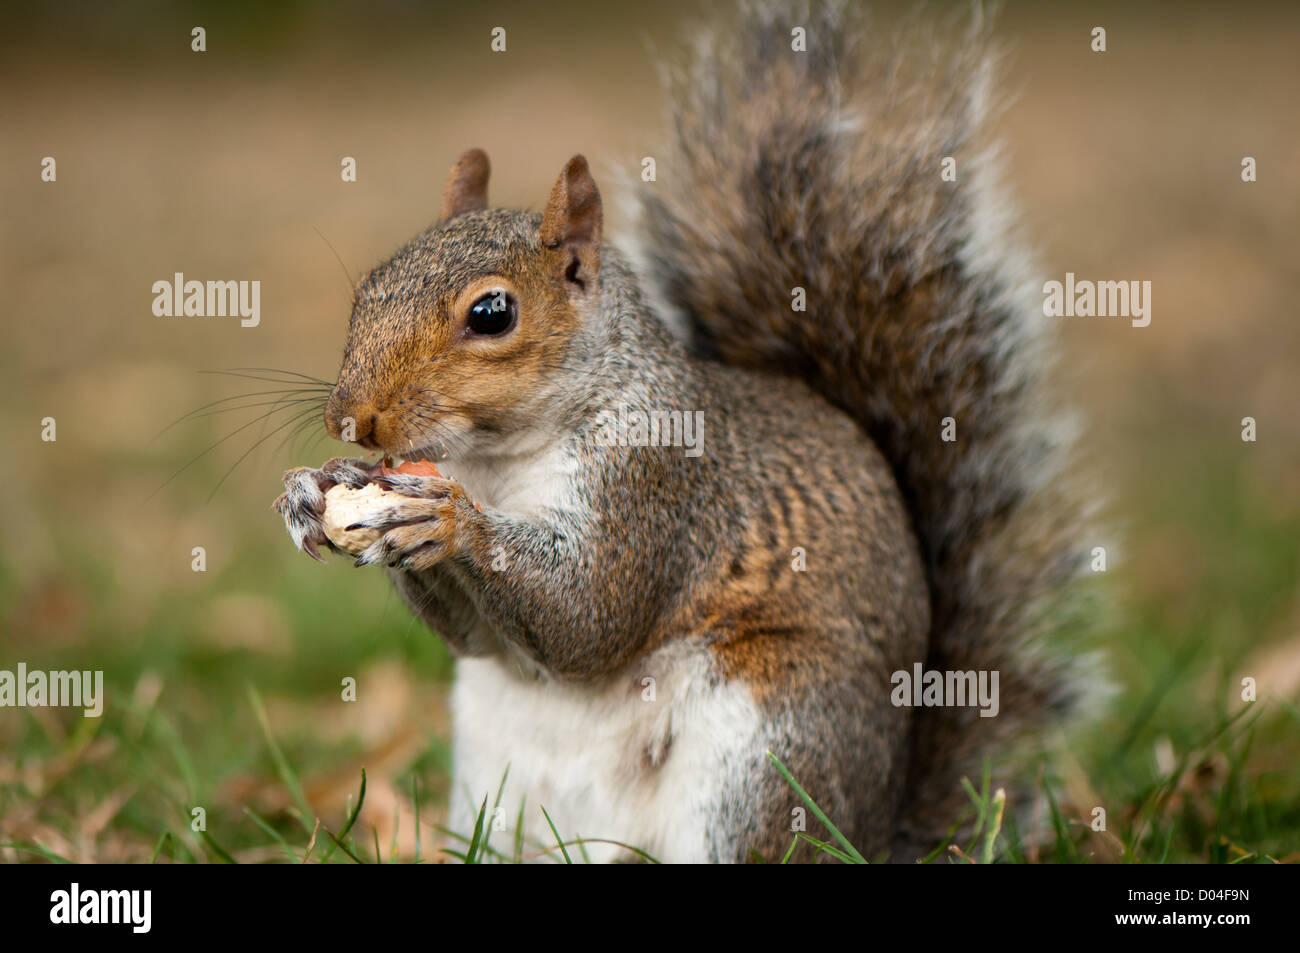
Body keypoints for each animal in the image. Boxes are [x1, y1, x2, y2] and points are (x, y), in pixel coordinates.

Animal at [274, 2, 1096, 863]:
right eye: (369, 285)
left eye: (492, 313)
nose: (350, 416)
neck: (497, 459)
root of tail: (874, 829)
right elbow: (477, 638)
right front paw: (311, 492)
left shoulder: (655, 481)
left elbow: (592, 614)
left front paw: (447, 519)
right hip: (496, 791)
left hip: (766, 746)